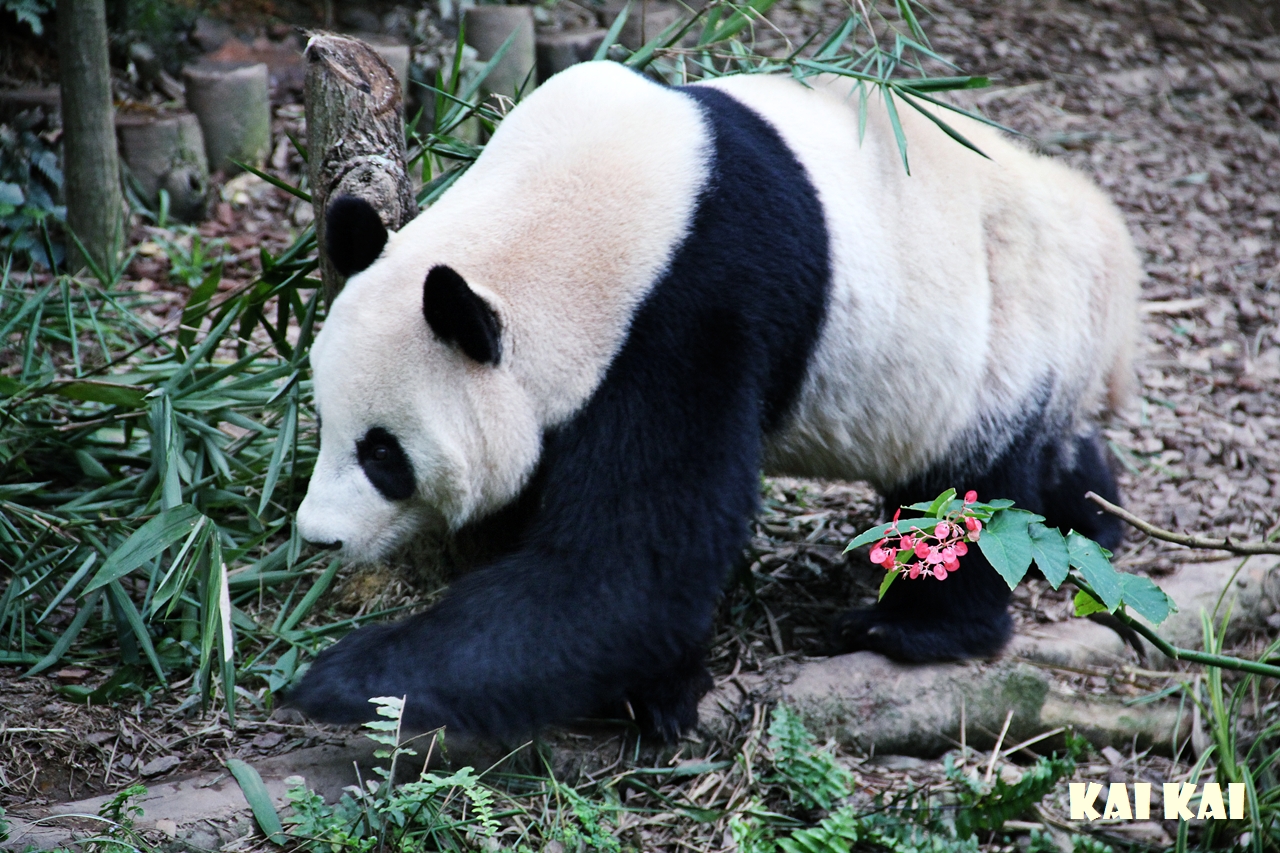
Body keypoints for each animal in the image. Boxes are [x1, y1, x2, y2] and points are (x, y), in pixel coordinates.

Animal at [288, 61, 1140, 741]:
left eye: (384, 454)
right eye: (326, 423)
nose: (319, 536)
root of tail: (1111, 253)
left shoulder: (686, 312)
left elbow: (638, 565)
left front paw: (345, 679)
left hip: (1004, 328)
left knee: (969, 499)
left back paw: (909, 628)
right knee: (1039, 461)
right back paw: (1093, 515)